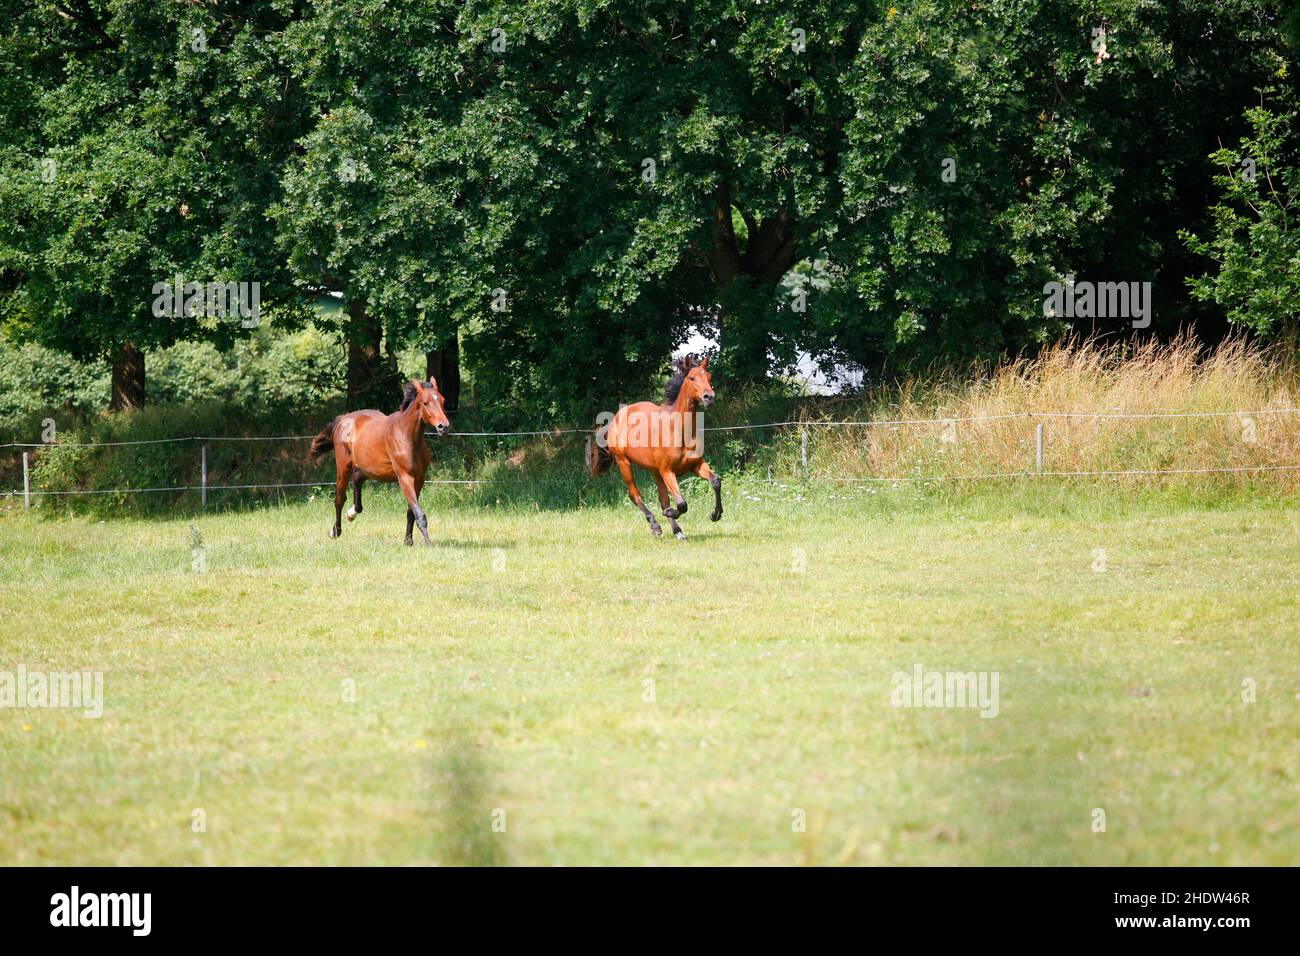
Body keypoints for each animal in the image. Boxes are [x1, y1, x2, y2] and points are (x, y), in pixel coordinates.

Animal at [310, 379, 451, 545]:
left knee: (357, 480)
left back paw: (351, 513)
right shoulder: (405, 477)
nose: (443, 426)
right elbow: (419, 514)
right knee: (339, 499)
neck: (406, 436)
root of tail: (343, 419)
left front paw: (408, 541)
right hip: (344, 467)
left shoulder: (420, 478)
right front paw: (428, 544)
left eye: (442, 400)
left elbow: (411, 511)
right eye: (425, 402)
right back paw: (335, 531)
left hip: (370, 468)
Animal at [588, 355, 722, 540]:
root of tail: (616, 417)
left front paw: (715, 515)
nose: (709, 397)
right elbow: (682, 504)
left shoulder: (695, 465)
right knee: (635, 495)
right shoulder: (667, 471)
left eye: (709, 377)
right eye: (692, 378)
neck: (679, 431)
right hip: (624, 463)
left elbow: (715, 481)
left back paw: (678, 532)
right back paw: (656, 526)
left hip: (654, 471)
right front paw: (670, 513)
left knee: (662, 499)